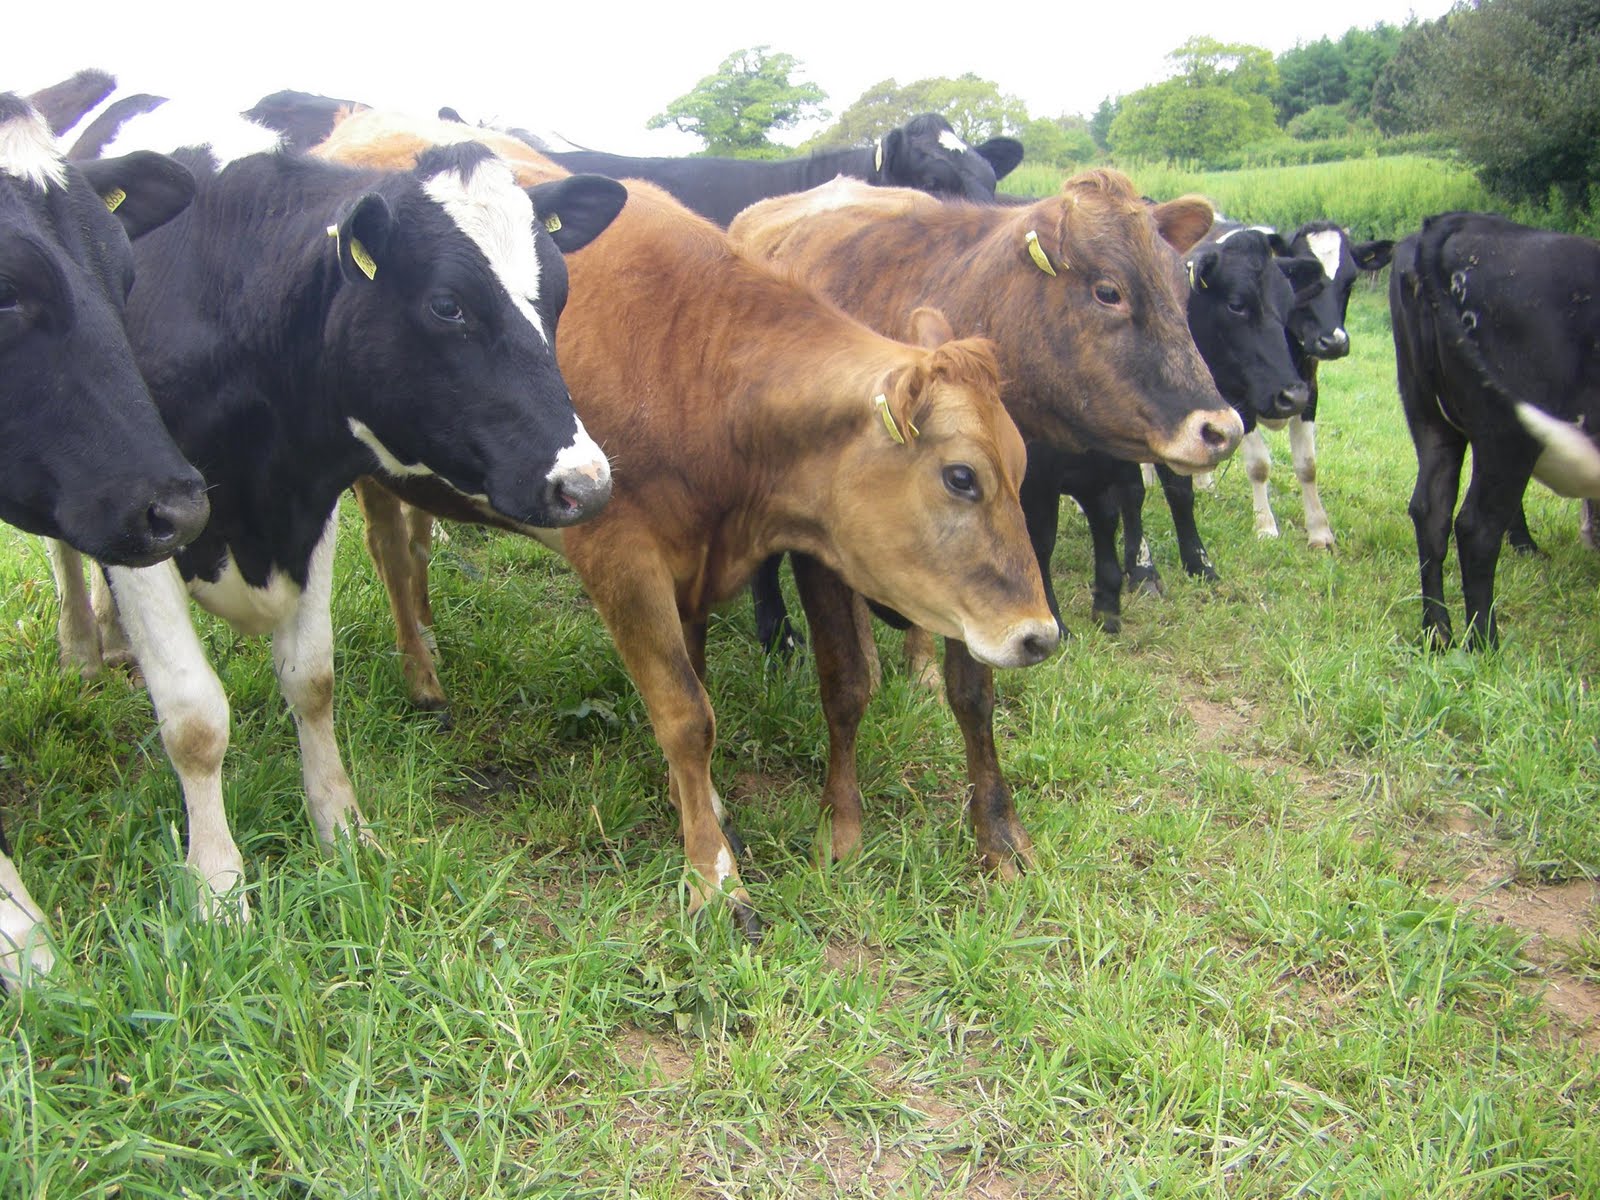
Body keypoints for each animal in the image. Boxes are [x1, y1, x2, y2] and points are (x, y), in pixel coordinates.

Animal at [43, 99, 627, 923]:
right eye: (447, 305)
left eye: (559, 295)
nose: (586, 484)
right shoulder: (148, 514)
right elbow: (194, 719)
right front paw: (218, 889)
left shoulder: (309, 509)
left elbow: (312, 679)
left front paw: (343, 831)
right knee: (67, 553)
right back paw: (83, 647)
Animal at [311, 109, 1059, 938]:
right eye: (961, 476)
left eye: (1023, 468)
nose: (1040, 635)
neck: (695, 364)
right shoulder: (621, 557)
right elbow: (685, 715)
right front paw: (714, 879)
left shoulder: (693, 560)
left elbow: (697, 690)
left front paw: (705, 810)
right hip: (368, 468)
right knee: (391, 554)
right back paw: (423, 678)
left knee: (413, 550)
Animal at [728, 170, 1242, 878]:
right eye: (1108, 290)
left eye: (1181, 287)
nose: (1222, 428)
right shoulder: (820, 559)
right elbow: (845, 684)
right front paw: (841, 826)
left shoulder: (980, 574)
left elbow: (973, 694)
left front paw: (997, 831)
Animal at [1238, 221, 1394, 549]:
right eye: (1296, 280)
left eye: (1350, 281)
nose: (1333, 342)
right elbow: (1258, 465)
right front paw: (1265, 526)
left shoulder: (1309, 393)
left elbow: (1307, 466)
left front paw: (1320, 532)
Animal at [1390, 210, 1600, 649]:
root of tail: (1460, 221)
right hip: (1509, 432)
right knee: (1476, 527)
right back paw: (1485, 643)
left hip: (1428, 415)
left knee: (1430, 511)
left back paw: (1438, 632)